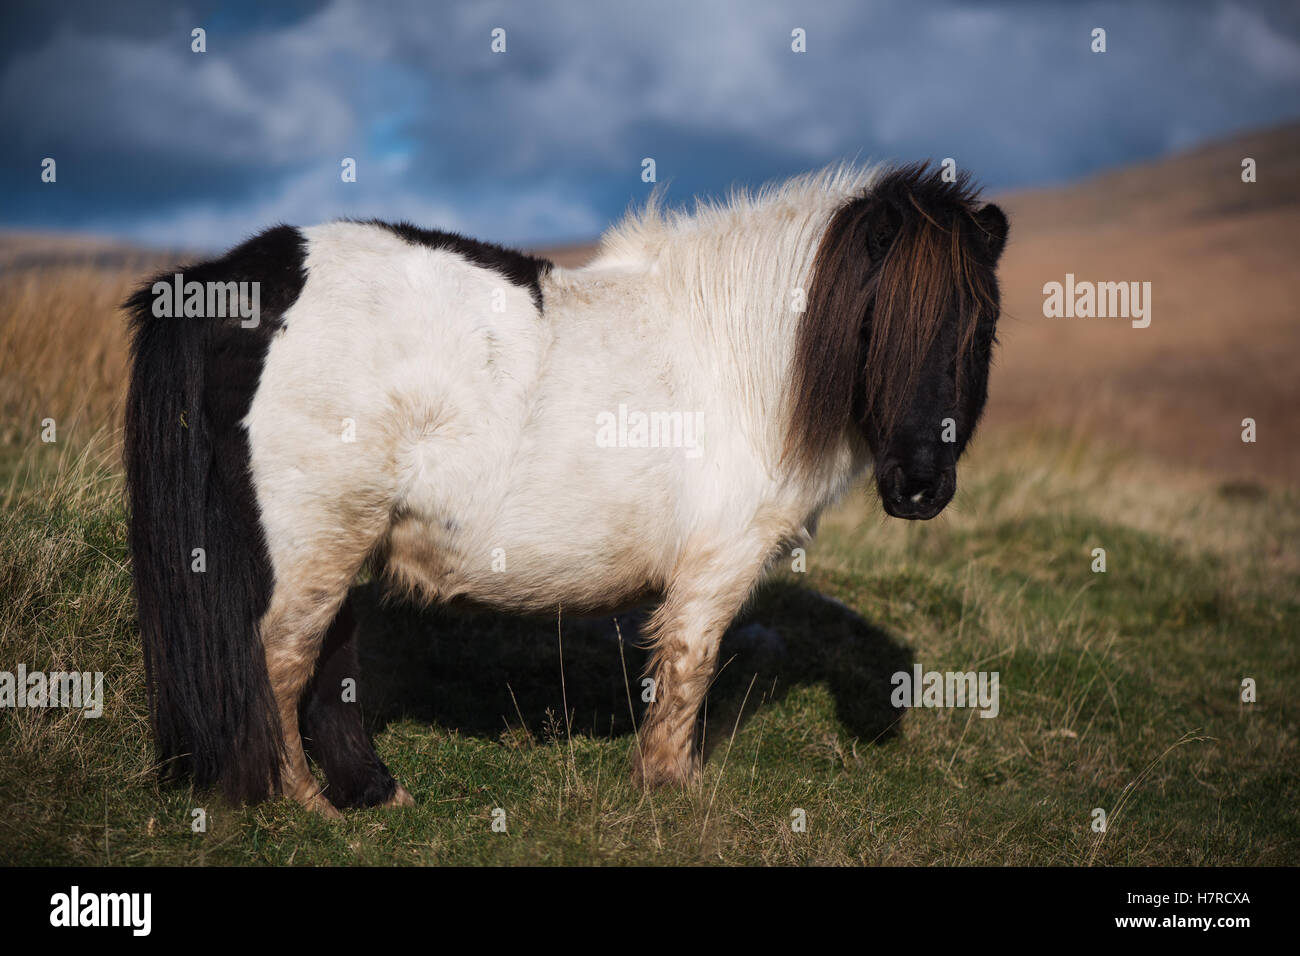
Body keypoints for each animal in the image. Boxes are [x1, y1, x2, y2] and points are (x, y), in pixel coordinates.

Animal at [123, 162, 1008, 817]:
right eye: (875, 325)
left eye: (979, 330)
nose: (921, 485)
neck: (741, 359)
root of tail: (233, 280)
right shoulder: (716, 568)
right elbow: (688, 670)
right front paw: (670, 791)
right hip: (318, 535)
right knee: (280, 659)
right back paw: (310, 807)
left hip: (342, 538)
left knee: (326, 660)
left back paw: (373, 794)